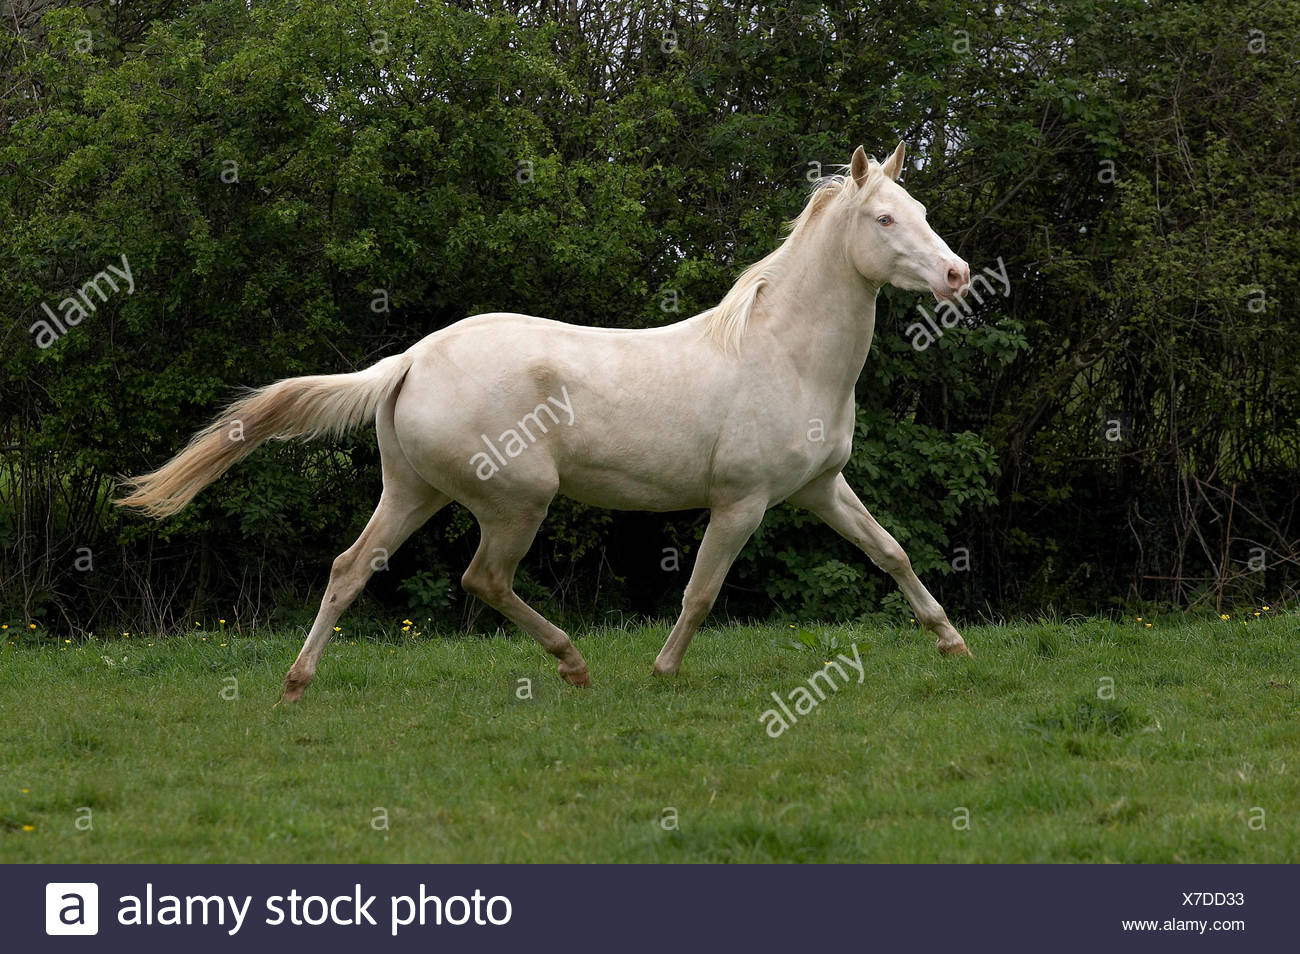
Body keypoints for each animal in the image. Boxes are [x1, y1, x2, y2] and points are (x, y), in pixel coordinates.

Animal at [117, 142, 974, 702]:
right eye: (885, 219)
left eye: (923, 210)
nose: (958, 275)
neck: (786, 354)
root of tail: (410, 359)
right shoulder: (742, 502)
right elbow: (700, 592)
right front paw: (663, 672)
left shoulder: (820, 487)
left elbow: (891, 553)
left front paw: (952, 644)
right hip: (517, 500)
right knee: (483, 578)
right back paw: (572, 663)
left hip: (414, 492)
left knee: (350, 567)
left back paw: (298, 683)